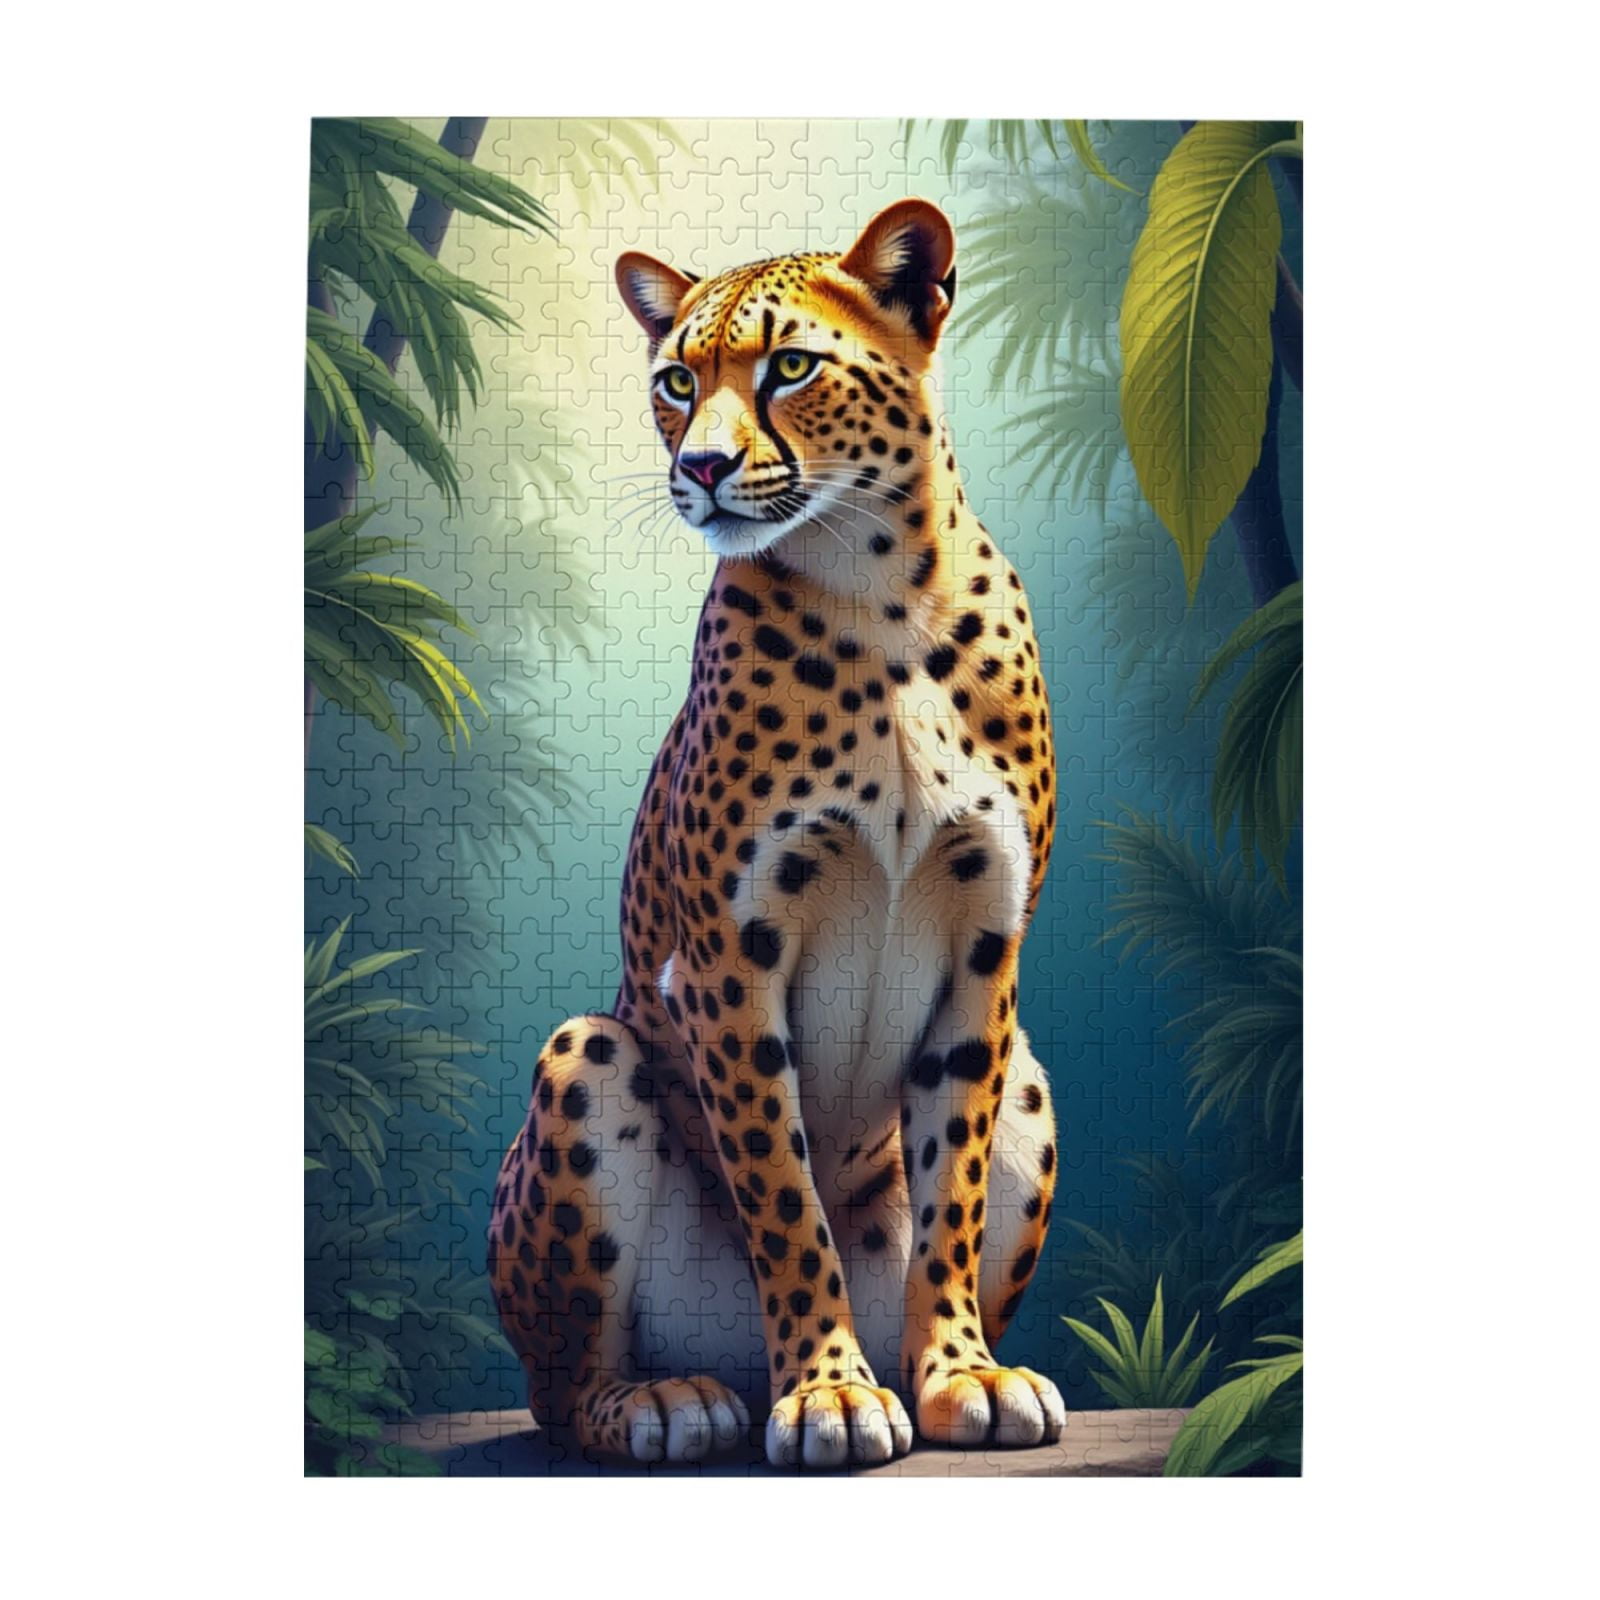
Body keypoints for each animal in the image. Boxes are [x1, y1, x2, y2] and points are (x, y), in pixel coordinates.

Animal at [489, 200, 1063, 1469]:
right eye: (674, 381)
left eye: (789, 367)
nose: (697, 467)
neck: (879, 602)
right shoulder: (725, 962)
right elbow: (784, 1196)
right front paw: (834, 1391)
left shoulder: (986, 946)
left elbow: (948, 1190)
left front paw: (958, 1376)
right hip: (584, 1050)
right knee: (560, 1386)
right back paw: (665, 1400)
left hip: (1034, 1079)